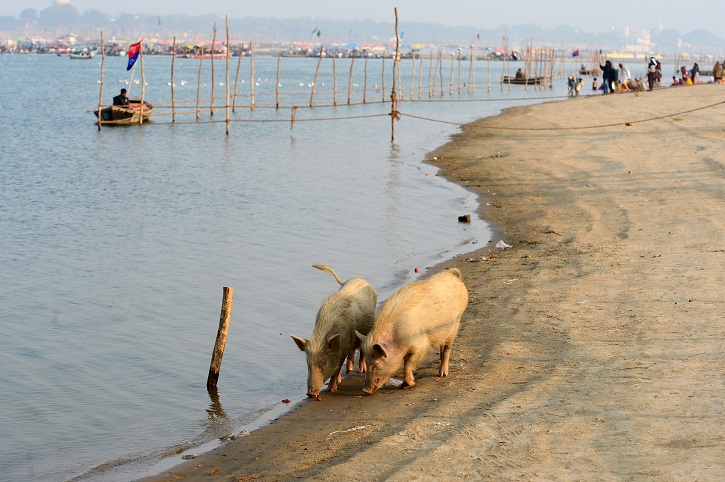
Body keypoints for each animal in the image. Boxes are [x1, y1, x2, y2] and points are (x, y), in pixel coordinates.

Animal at [291, 264, 377, 398]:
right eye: (307, 363)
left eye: (323, 363)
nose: (310, 393)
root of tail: (358, 278)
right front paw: (339, 380)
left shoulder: (342, 349)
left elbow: (337, 368)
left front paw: (331, 390)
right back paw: (349, 369)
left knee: (362, 351)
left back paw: (362, 370)